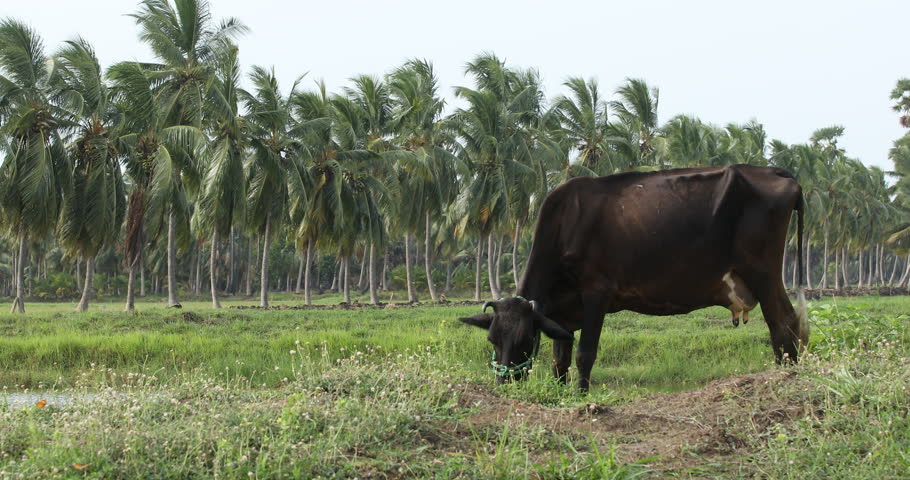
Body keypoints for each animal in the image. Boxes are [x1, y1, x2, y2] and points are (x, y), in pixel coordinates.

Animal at [459, 164, 808, 390]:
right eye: (492, 339)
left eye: (525, 339)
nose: (505, 384)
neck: (564, 224)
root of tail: (777, 171)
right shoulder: (561, 313)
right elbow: (560, 359)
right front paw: (558, 394)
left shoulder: (597, 293)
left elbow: (585, 354)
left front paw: (580, 396)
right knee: (791, 326)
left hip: (763, 272)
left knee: (783, 325)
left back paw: (784, 380)